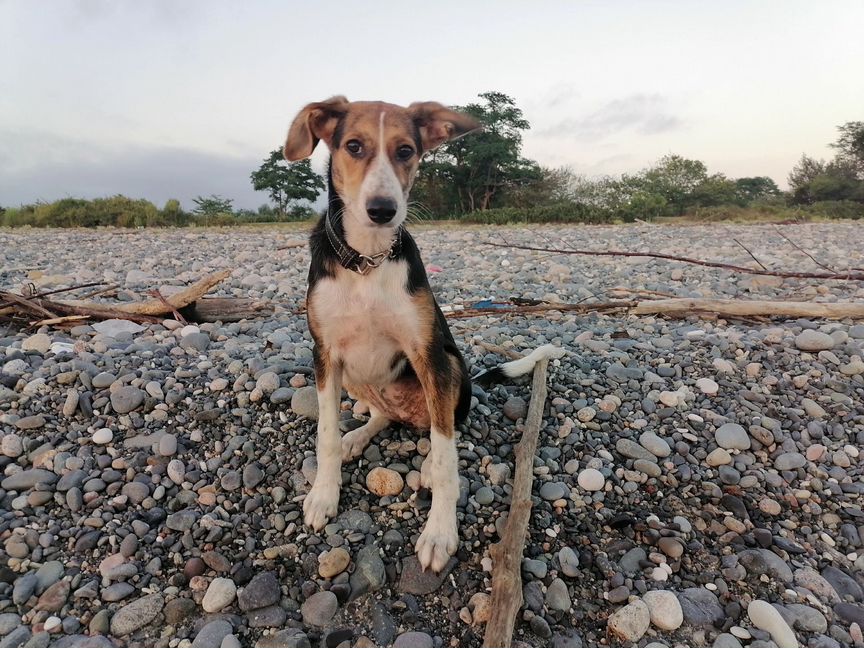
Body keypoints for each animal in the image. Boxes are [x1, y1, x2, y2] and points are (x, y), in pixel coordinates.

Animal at [284, 97, 564, 572]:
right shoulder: (325, 353)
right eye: (353, 146)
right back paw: (357, 436)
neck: (367, 260)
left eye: (406, 151)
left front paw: (439, 532)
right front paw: (324, 495)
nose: (382, 209)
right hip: (357, 377)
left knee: (443, 424)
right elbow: (324, 435)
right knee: (387, 415)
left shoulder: (428, 351)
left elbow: (450, 458)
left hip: (451, 365)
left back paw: (429, 459)